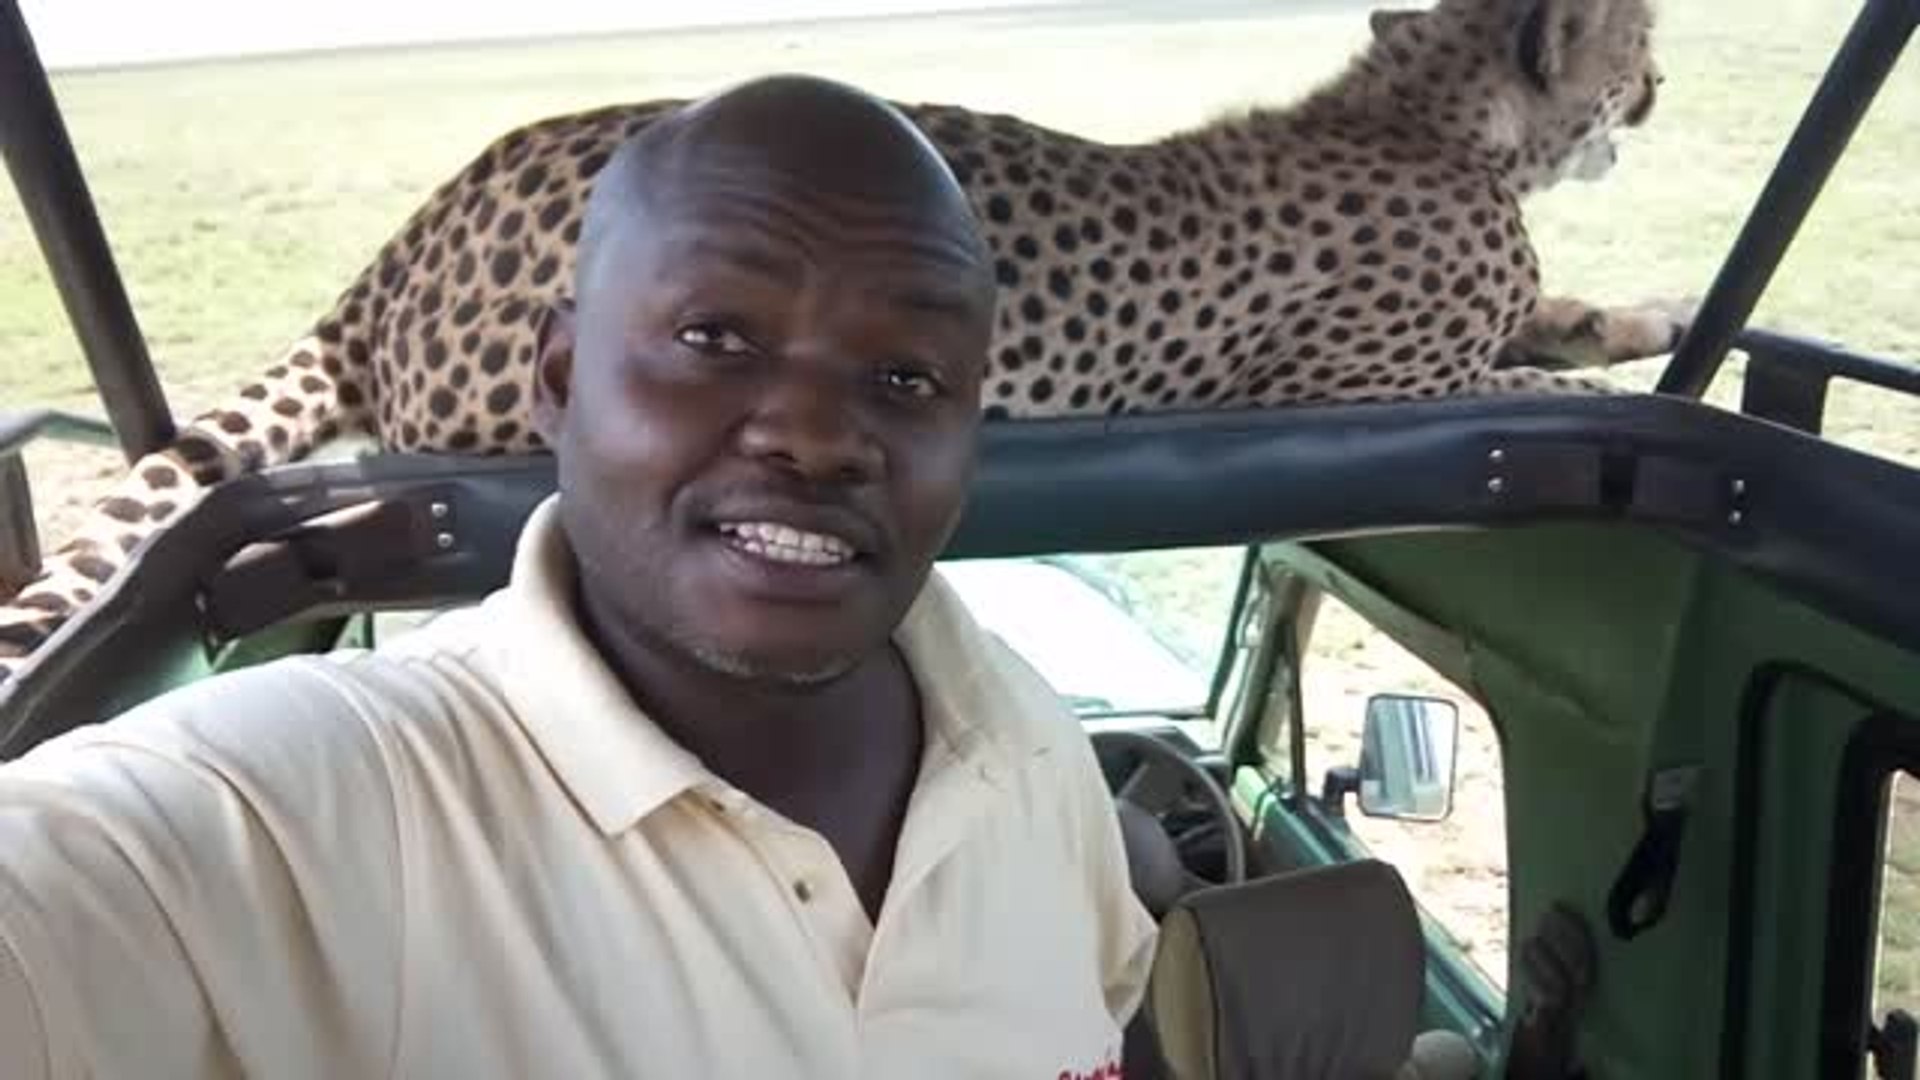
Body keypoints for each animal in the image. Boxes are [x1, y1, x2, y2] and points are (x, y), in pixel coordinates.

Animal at [0, 0, 1683, 690]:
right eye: (1644, 45)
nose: (1663, 90)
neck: (1431, 115)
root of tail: (429, 215)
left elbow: (1571, 316)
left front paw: (1663, 314)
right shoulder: (1355, 382)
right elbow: (1517, 370)